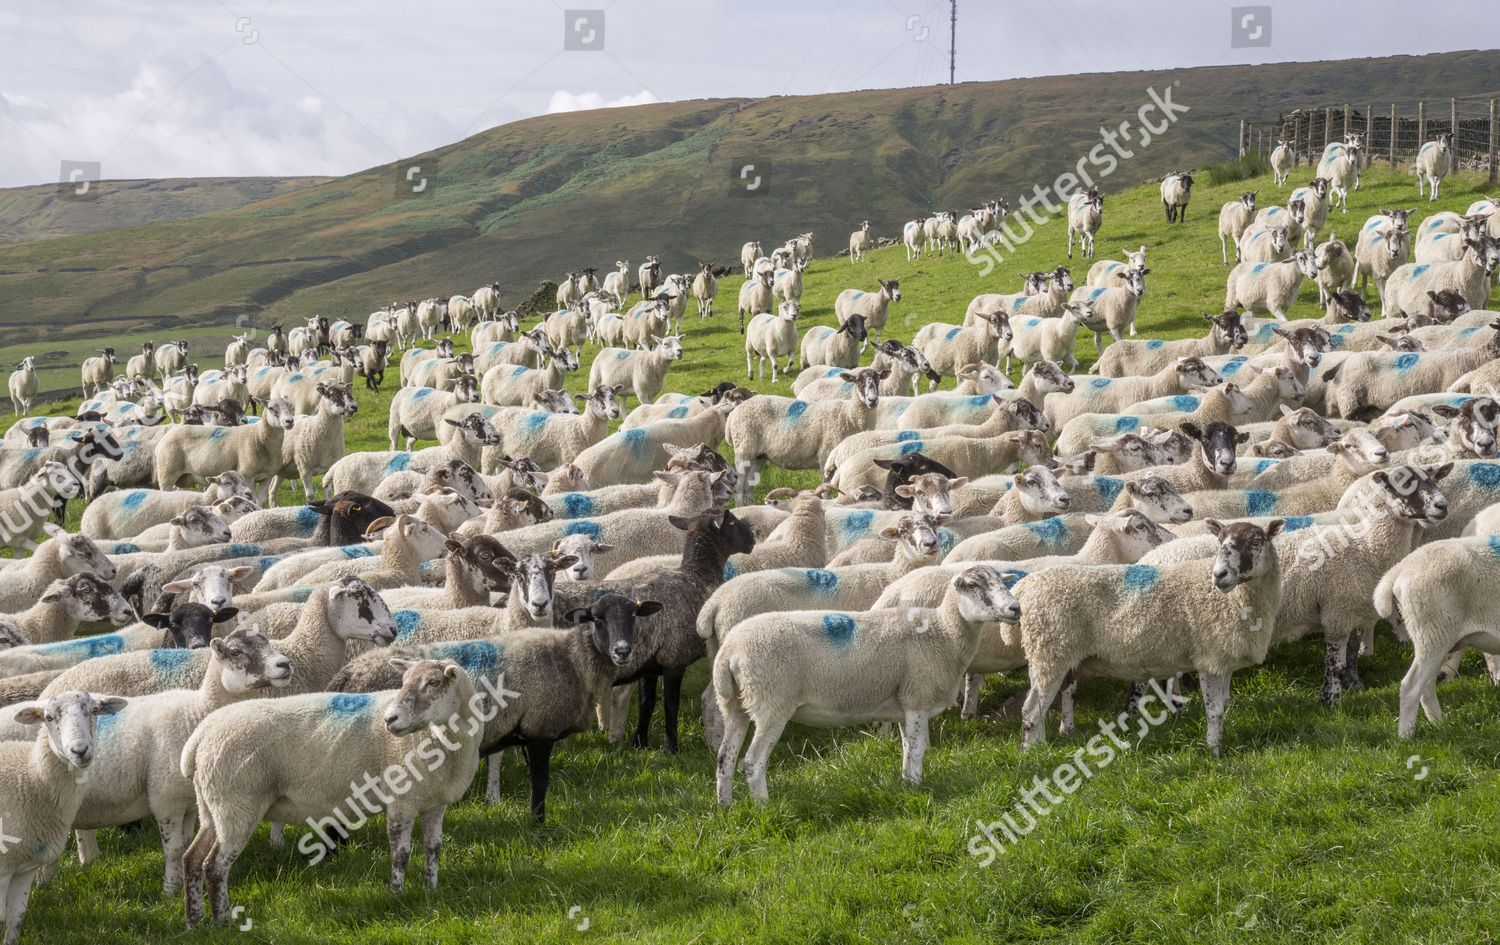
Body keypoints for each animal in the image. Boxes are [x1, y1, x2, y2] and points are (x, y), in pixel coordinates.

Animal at [0, 691, 125, 945]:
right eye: (48, 717)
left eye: (94, 711)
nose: (80, 750)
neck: (29, 779)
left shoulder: (24, 867)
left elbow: (15, 918)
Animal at [714, 564, 1018, 801]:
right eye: (973, 585)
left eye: (1002, 582)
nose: (1015, 608)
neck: (943, 633)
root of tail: (728, 651)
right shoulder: (918, 697)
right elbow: (918, 749)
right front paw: (918, 787)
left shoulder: (904, 703)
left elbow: (907, 749)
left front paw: (909, 784)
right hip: (771, 703)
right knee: (752, 763)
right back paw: (763, 806)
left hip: (735, 704)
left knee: (724, 758)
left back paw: (725, 807)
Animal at [725, 368, 885, 502]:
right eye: (858, 381)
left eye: (878, 379)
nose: (872, 400)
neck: (848, 416)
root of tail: (732, 416)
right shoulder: (825, 458)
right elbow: (826, 491)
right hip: (743, 451)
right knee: (739, 487)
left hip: (758, 456)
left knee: (748, 487)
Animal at [1017, 518, 1286, 754]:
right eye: (1219, 541)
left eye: (1256, 540)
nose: (1219, 575)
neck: (1236, 601)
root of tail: (1026, 588)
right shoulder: (1209, 659)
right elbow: (1215, 710)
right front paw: (1214, 750)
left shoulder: (1224, 659)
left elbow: (1225, 703)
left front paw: (1220, 740)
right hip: (1051, 653)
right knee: (1031, 709)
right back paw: (1032, 752)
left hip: (1045, 656)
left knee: (1039, 705)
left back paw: (1041, 742)